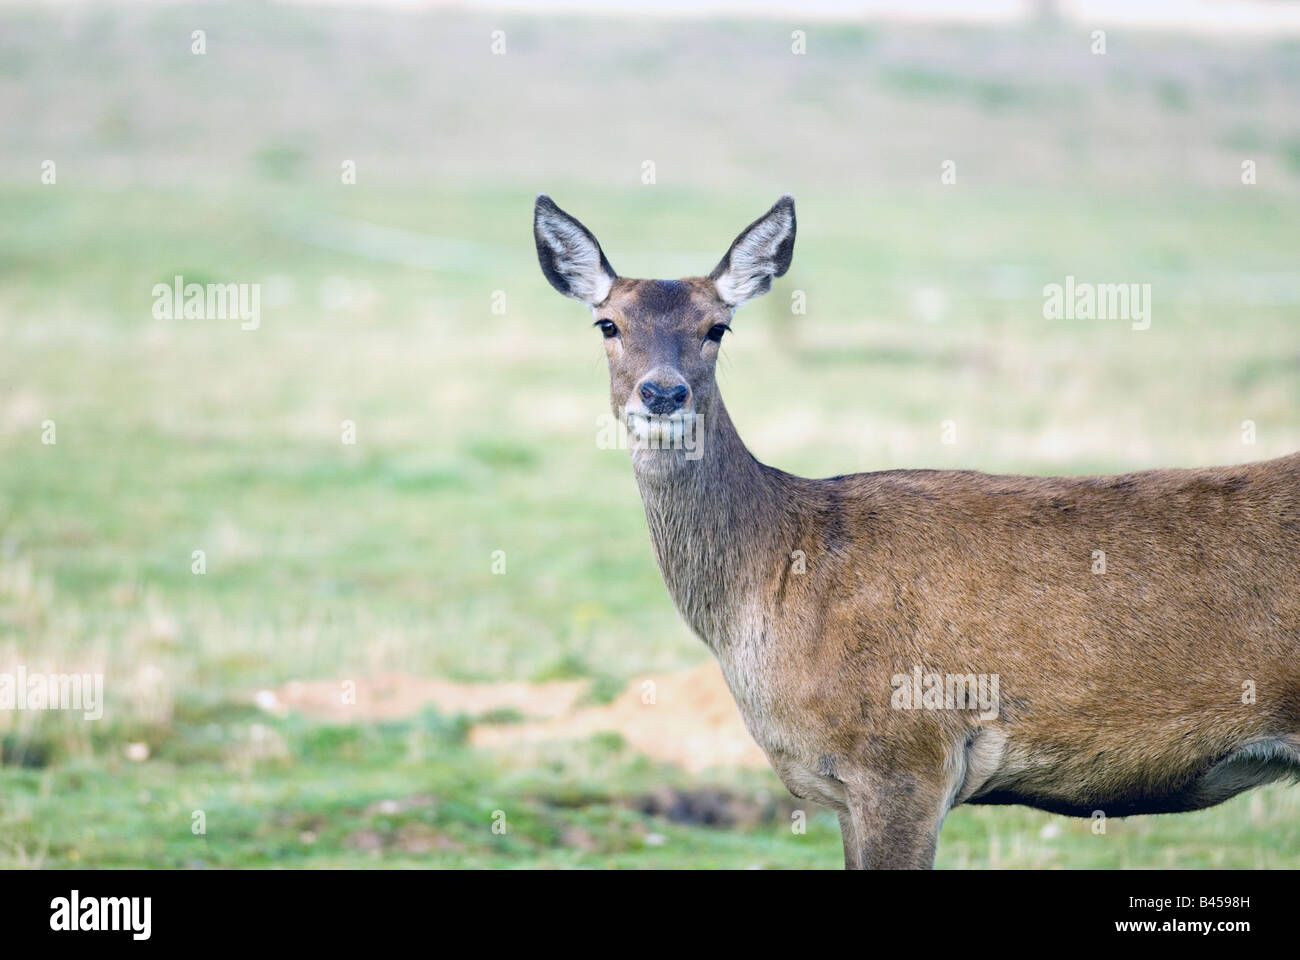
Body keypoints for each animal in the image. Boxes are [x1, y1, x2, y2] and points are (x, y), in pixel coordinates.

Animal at [533, 193, 1300, 869]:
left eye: (717, 327)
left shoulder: (904, 757)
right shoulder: (846, 789)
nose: (663, 393)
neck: (771, 586)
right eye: (608, 324)